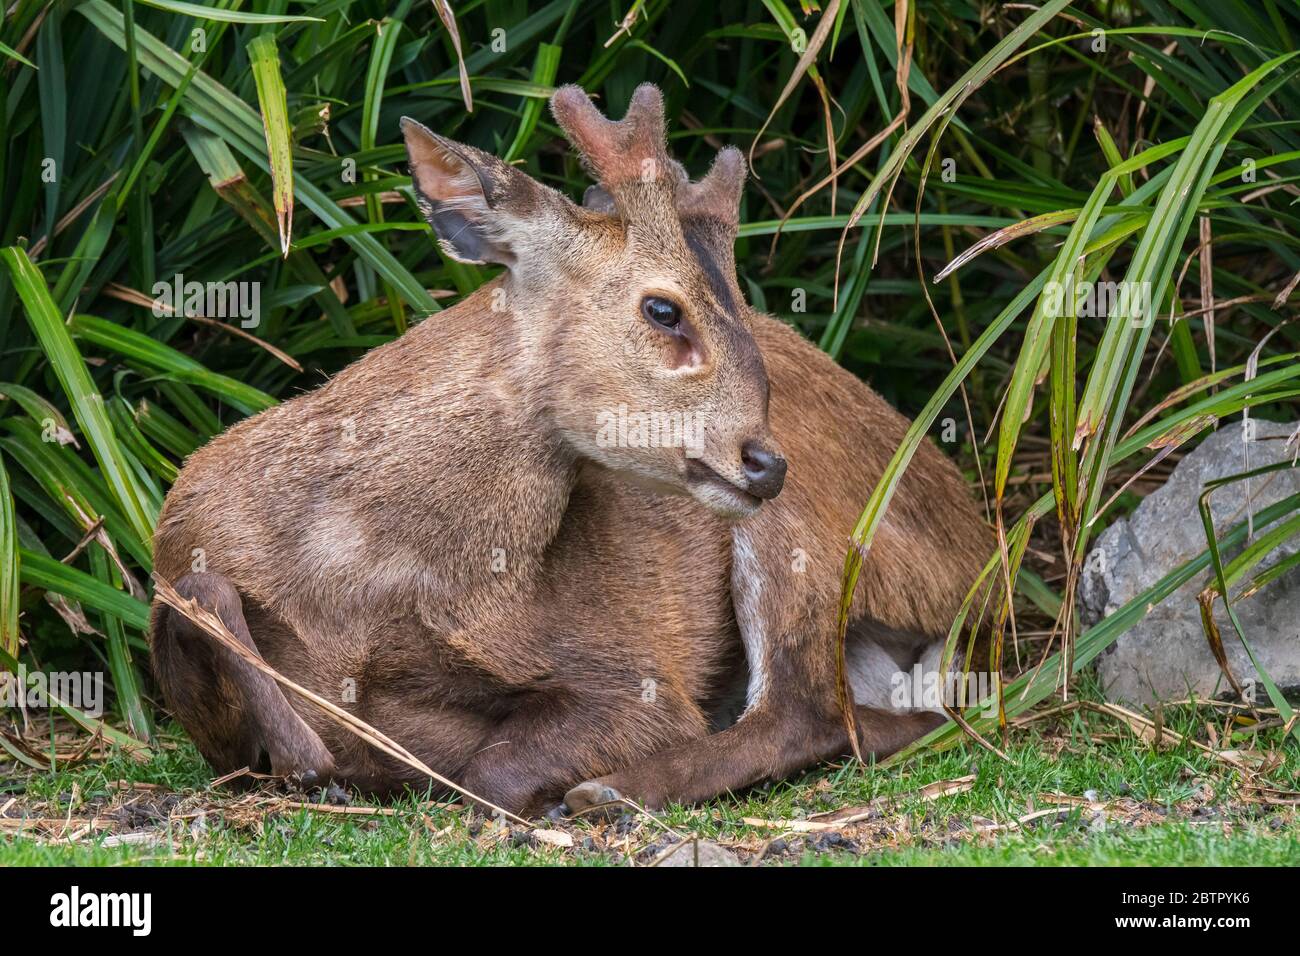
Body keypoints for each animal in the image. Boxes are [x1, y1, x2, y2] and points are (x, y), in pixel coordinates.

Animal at [148, 84, 992, 818]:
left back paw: (611, 791)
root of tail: (983, 557)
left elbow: (491, 774)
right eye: (664, 309)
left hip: (807, 538)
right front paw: (308, 756)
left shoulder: (632, 673)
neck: (361, 582)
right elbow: (190, 606)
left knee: (810, 713)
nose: (764, 461)